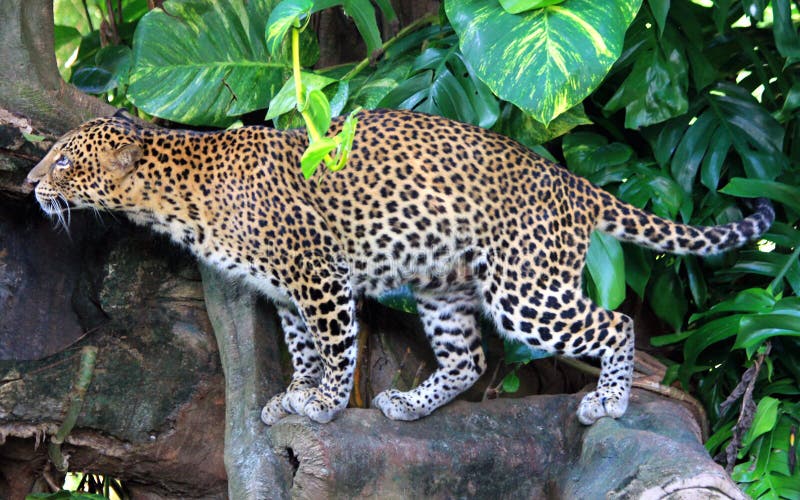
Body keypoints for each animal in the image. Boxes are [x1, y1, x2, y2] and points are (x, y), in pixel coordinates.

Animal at [26, 108, 774, 426]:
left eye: (63, 159)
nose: (31, 182)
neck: (175, 195)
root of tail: (569, 180)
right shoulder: (287, 292)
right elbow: (302, 348)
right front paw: (296, 394)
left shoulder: (319, 277)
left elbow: (336, 347)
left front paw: (325, 403)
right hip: (443, 287)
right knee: (468, 360)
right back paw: (411, 404)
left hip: (526, 287)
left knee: (615, 322)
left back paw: (611, 399)